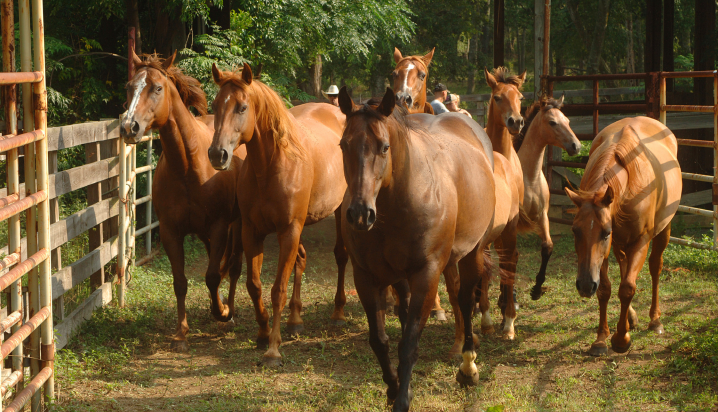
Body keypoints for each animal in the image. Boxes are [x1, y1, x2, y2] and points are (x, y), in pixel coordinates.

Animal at [120, 50, 245, 352]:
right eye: (129, 87)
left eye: (157, 88)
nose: (129, 127)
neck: (190, 166)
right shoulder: (171, 232)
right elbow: (180, 281)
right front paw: (181, 332)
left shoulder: (219, 227)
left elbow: (212, 276)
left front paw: (221, 312)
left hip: (238, 226)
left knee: (234, 267)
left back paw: (229, 312)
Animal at [207, 63, 348, 367]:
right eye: (214, 105)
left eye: (242, 107)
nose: (217, 154)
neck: (272, 166)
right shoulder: (252, 232)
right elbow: (254, 285)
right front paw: (262, 333)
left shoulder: (288, 231)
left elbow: (277, 290)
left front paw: (273, 348)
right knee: (301, 260)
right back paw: (295, 320)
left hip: (341, 212)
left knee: (341, 256)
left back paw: (338, 314)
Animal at [338, 87, 499, 411]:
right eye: (343, 145)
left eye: (384, 147)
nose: (360, 214)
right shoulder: (365, 277)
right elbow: (380, 340)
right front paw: (394, 388)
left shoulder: (427, 275)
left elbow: (410, 342)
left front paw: (402, 399)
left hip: (472, 254)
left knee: (464, 300)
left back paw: (467, 367)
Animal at [513, 95, 582, 300]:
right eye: (552, 122)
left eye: (567, 120)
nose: (576, 146)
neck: (529, 178)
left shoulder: (542, 216)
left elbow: (548, 247)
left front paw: (536, 289)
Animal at [565, 117, 681, 356]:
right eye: (575, 230)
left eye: (605, 232)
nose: (584, 285)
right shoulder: (607, 250)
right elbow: (606, 289)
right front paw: (601, 339)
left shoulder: (639, 241)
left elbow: (627, 287)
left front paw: (621, 339)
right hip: (620, 245)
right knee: (625, 267)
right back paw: (631, 318)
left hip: (662, 230)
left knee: (655, 267)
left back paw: (655, 320)